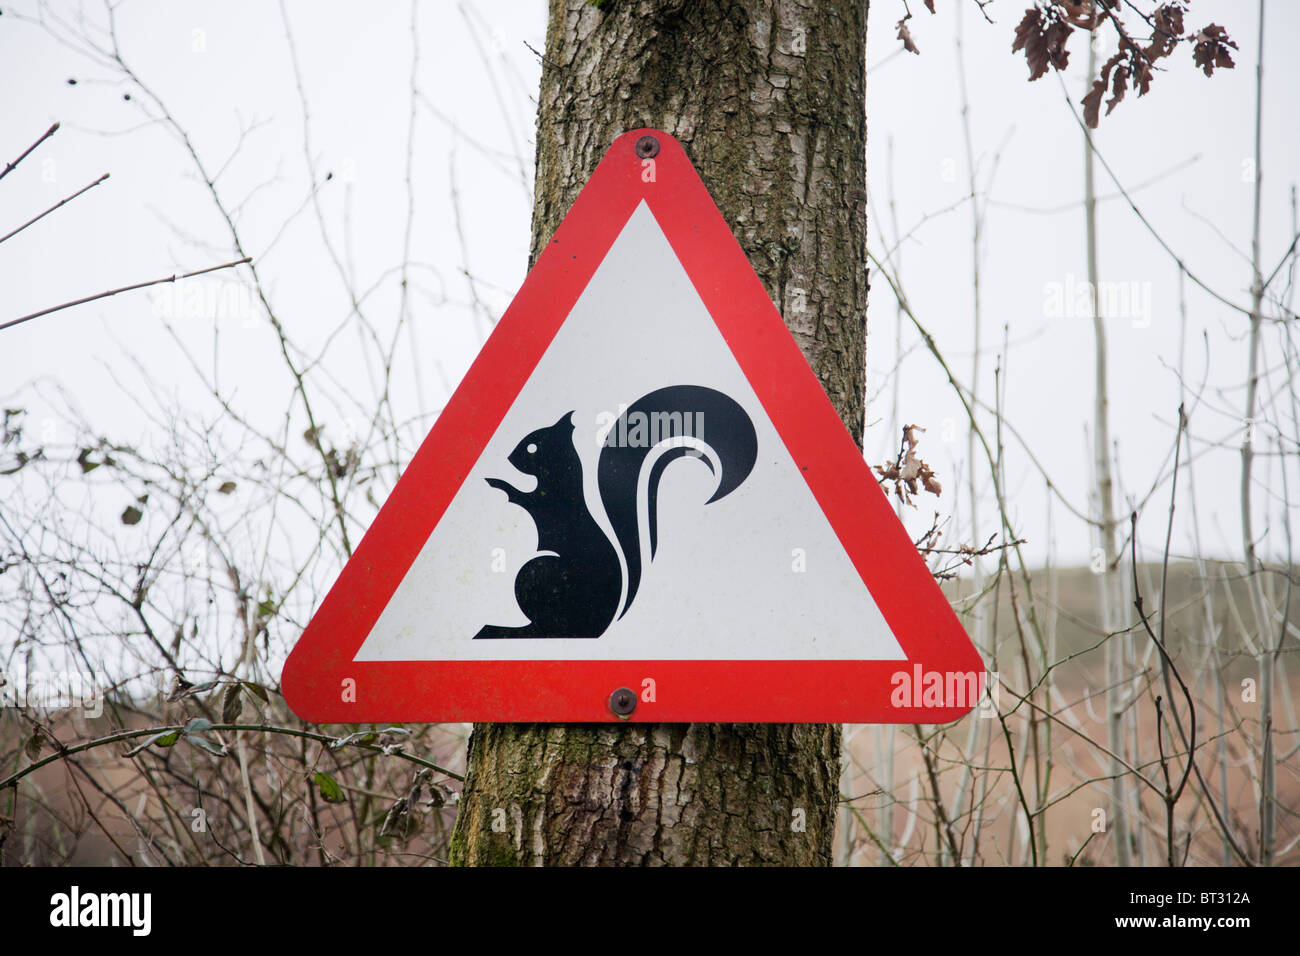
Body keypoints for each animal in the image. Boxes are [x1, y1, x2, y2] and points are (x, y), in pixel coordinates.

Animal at [474, 384, 757, 639]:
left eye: (532, 447)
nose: (509, 457)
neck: (561, 475)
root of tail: (599, 629)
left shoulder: (547, 500)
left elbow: (521, 497)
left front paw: (497, 482)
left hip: (538, 572)